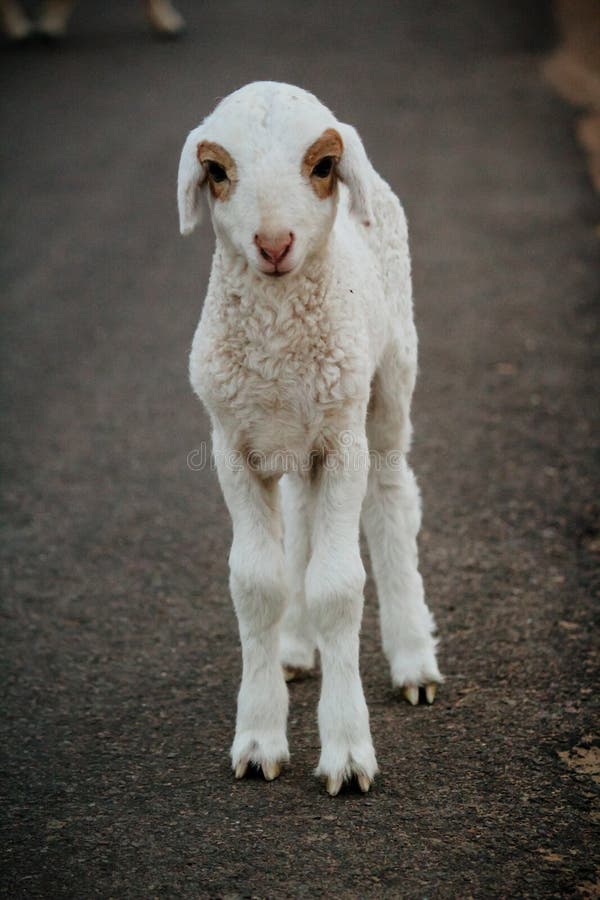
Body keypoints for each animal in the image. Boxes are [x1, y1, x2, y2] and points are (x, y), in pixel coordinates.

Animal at [177, 81, 442, 795]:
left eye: (321, 166)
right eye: (217, 172)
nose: (273, 244)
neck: (277, 345)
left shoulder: (343, 443)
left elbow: (338, 587)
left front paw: (348, 754)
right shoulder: (233, 445)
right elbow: (256, 584)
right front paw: (258, 738)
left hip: (386, 388)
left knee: (392, 500)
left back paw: (414, 659)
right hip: (297, 437)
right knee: (299, 515)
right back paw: (295, 648)